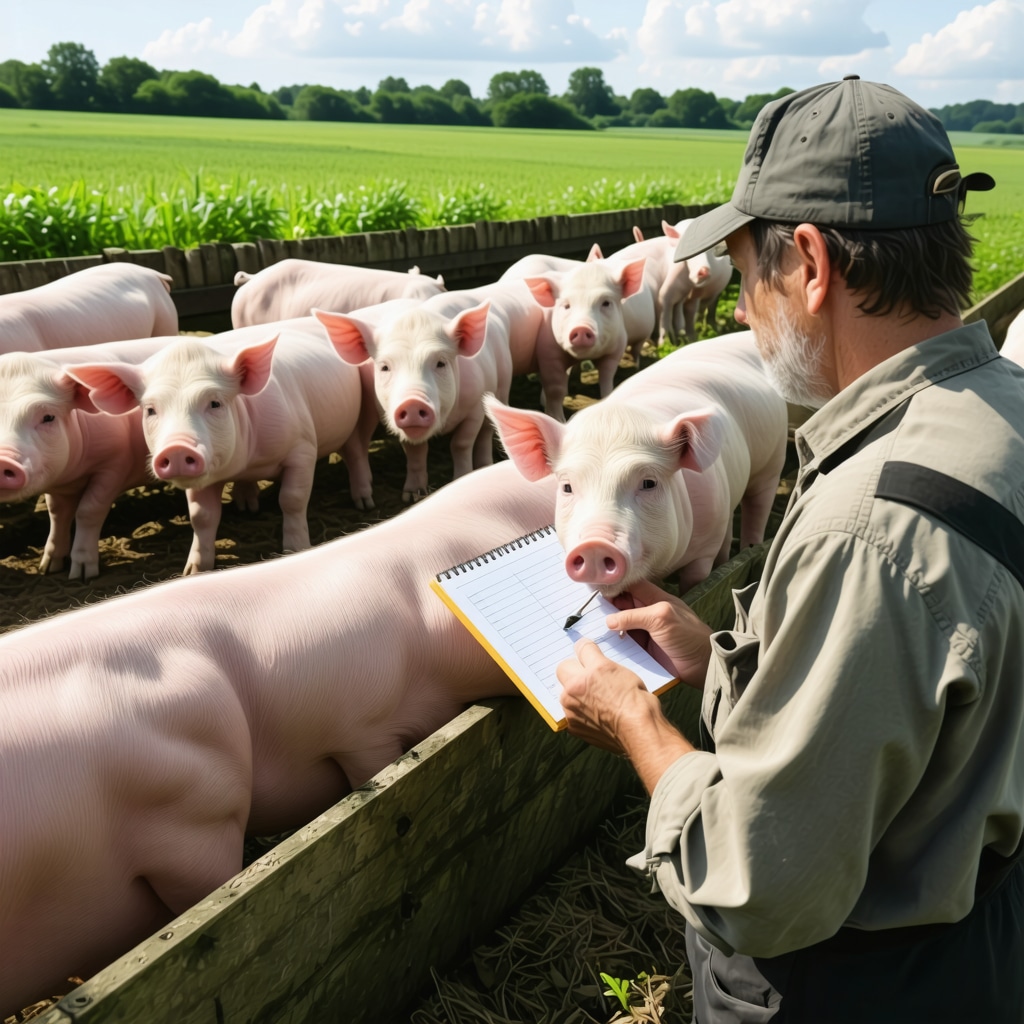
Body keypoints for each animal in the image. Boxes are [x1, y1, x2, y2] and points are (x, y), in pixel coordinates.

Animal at [0, 337, 180, 580]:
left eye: (48, 417)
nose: (3, 460)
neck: (71, 475)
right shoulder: (57, 481)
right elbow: (57, 513)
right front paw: (47, 568)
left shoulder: (114, 464)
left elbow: (88, 510)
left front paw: (82, 575)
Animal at [65, 318, 377, 575]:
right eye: (150, 410)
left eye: (214, 403)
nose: (177, 448)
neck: (246, 461)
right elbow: (201, 517)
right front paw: (193, 571)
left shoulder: (302, 448)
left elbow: (292, 499)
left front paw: (295, 551)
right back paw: (247, 506)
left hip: (355, 417)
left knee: (355, 453)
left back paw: (365, 503)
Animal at [315, 295, 514, 502]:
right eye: (384, 367)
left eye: (441, 363)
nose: (412, 402)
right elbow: (416, 452)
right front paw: (411, 496)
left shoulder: (474, 407)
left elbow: (461, 444)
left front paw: (461, 479)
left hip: (502, 385)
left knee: (487, 431)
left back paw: (485, 466)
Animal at [486, 331, 788, 596]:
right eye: (567, 487)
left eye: (649, 483)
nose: (594, 545)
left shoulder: (701, 554)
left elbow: (694, 586)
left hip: (773, 460)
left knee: (758, 506)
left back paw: (751, 546)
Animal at [500, 252, 650, 420]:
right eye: (566, 305)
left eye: (606, 303)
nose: (582, 328)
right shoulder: (548, 351)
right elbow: (555, 390)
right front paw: (559, 419)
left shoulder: (616, 347)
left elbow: (607, 381)